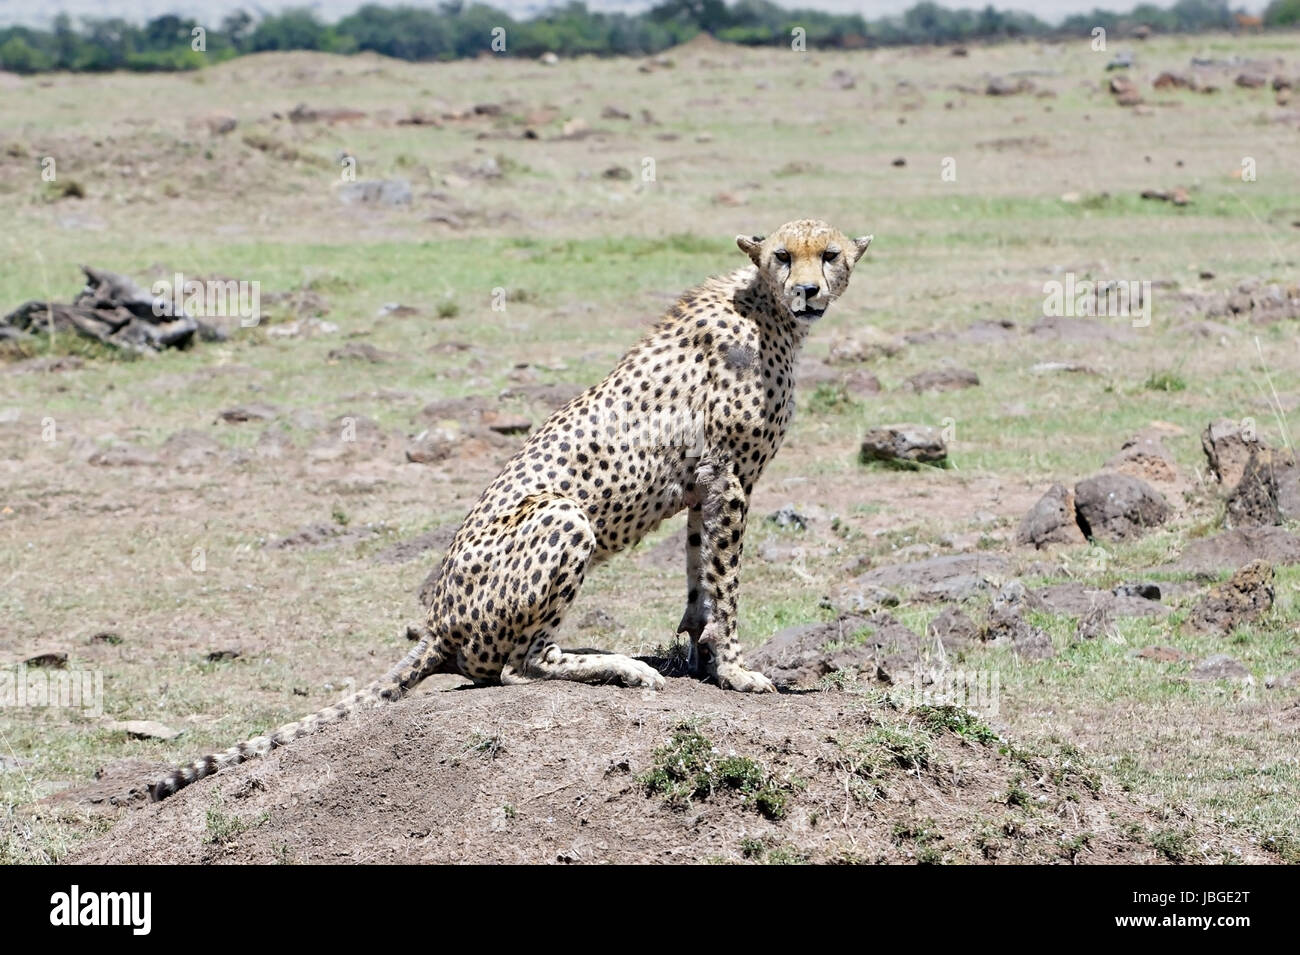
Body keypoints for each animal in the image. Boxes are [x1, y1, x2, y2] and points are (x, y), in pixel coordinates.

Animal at [150, 219, 872, 801]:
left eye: (830, 254)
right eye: (782, 256)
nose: (809, 291)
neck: (765, 310)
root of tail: (436, 621)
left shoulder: (705, 485)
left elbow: (699, 575)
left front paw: (697, 649)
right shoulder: (730, 478)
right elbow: (725, 581)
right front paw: (737, 670)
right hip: (565, 517)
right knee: (517, 661)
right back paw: (619, 667)